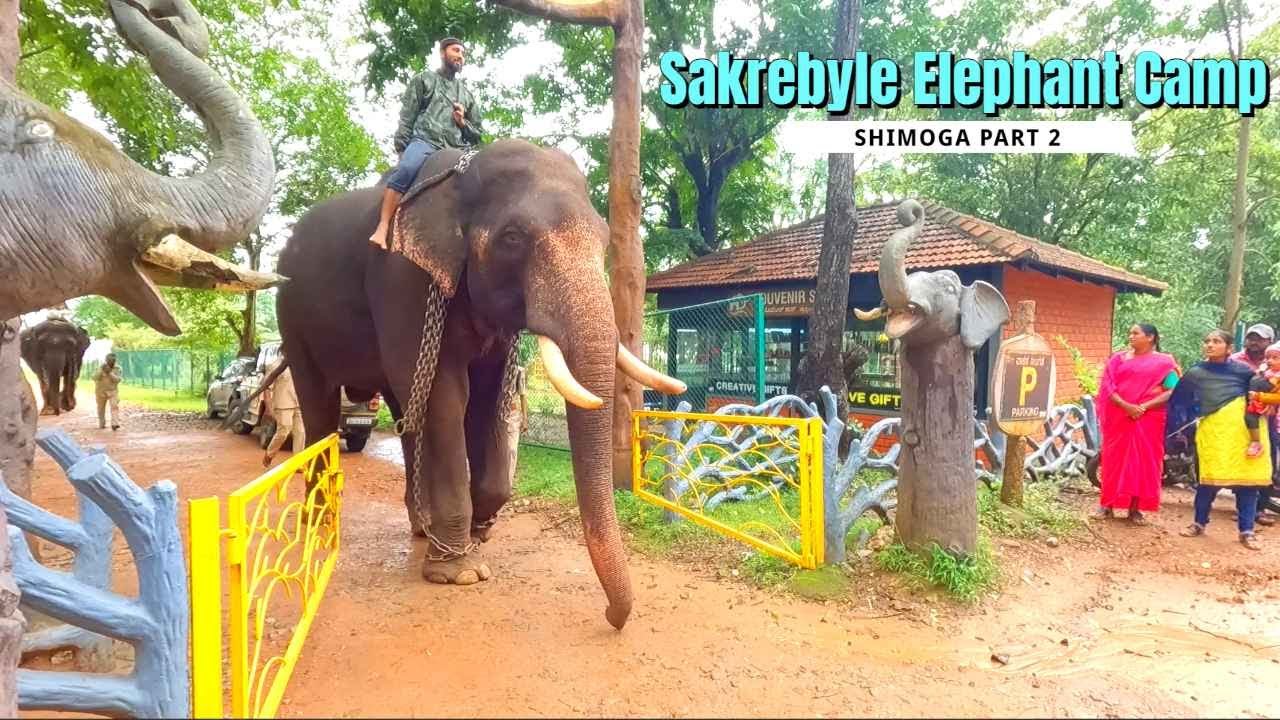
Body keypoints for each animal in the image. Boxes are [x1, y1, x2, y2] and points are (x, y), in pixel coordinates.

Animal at [268, 140, 686, 629]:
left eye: (604, 239)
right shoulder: (402, 278)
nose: (611, 616)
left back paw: (420, 528)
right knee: (319, 402)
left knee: (404, 409)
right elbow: (447, 396)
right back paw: (318, 525)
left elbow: (485, 396)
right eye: (512, 238)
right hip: (291, 312)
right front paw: (461, 573)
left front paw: (479, 532)